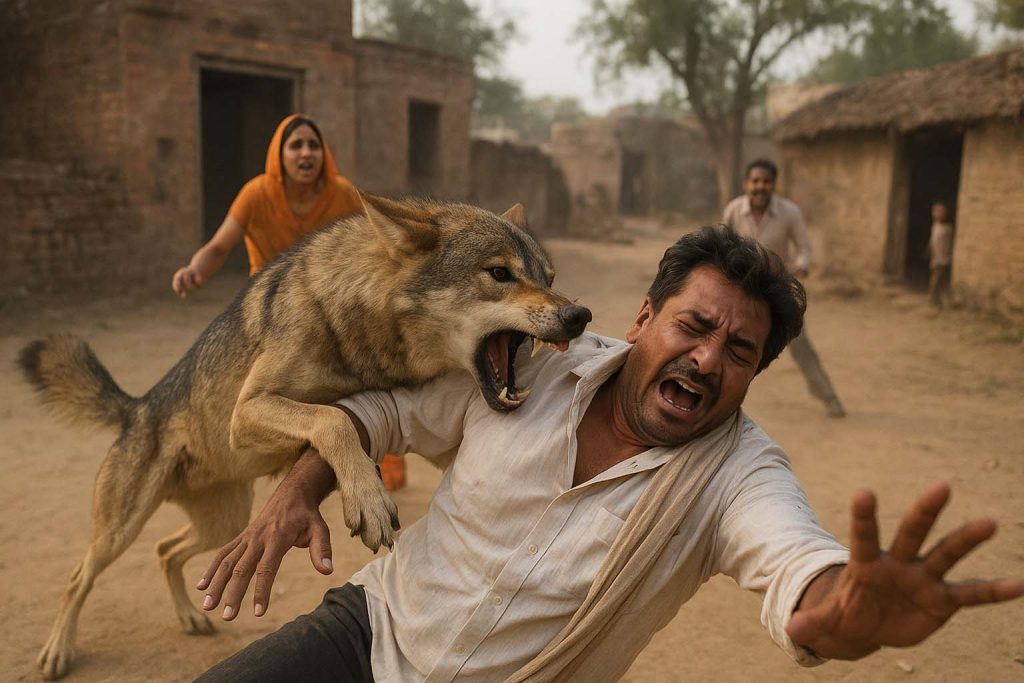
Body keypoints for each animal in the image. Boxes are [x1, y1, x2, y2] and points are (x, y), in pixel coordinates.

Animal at [19, 193, 592, 679]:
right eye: (499, 274)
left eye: (549, 276)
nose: (579, 314)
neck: (361, 324)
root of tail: (136, 406)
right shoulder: (248, 410)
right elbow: (331, 420)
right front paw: (369, 500)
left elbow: (338, 421)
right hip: (121, 530)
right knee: (79, 576)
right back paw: (57, 653)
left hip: (224, 522)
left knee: (165, 549)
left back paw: (190, 617)